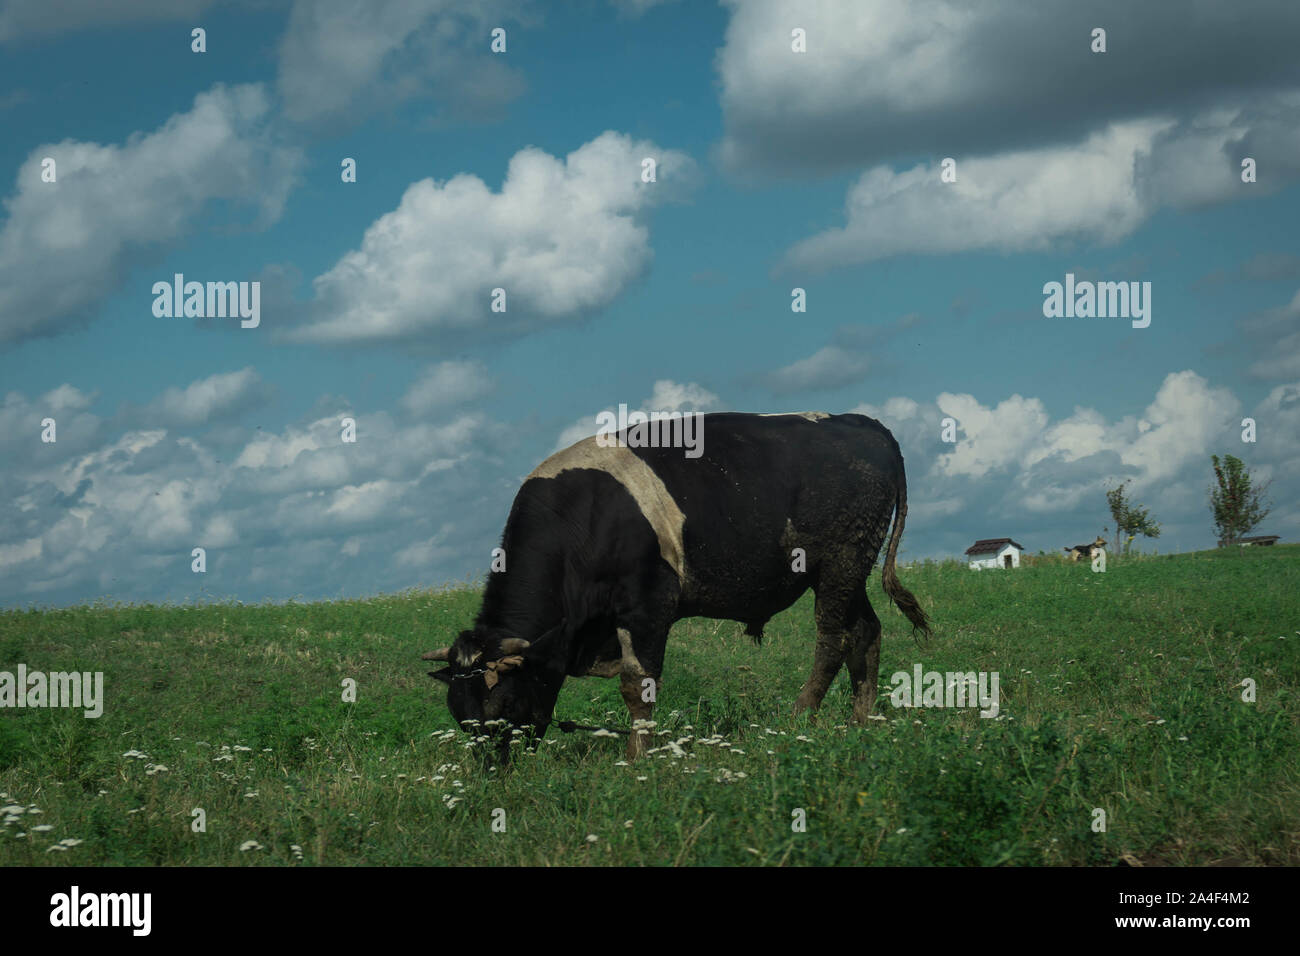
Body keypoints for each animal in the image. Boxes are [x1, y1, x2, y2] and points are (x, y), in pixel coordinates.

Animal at [421, 411, 930, 760]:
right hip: (847, 572)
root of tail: (859, 421)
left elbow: (638, 684)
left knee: (832, 640)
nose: (494, 770)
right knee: (865, 632)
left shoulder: (647, 606)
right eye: (460, 717)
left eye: (505, 703)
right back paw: (861, 720)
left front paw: (638, 758)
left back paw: (800, 716)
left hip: (840, 564)